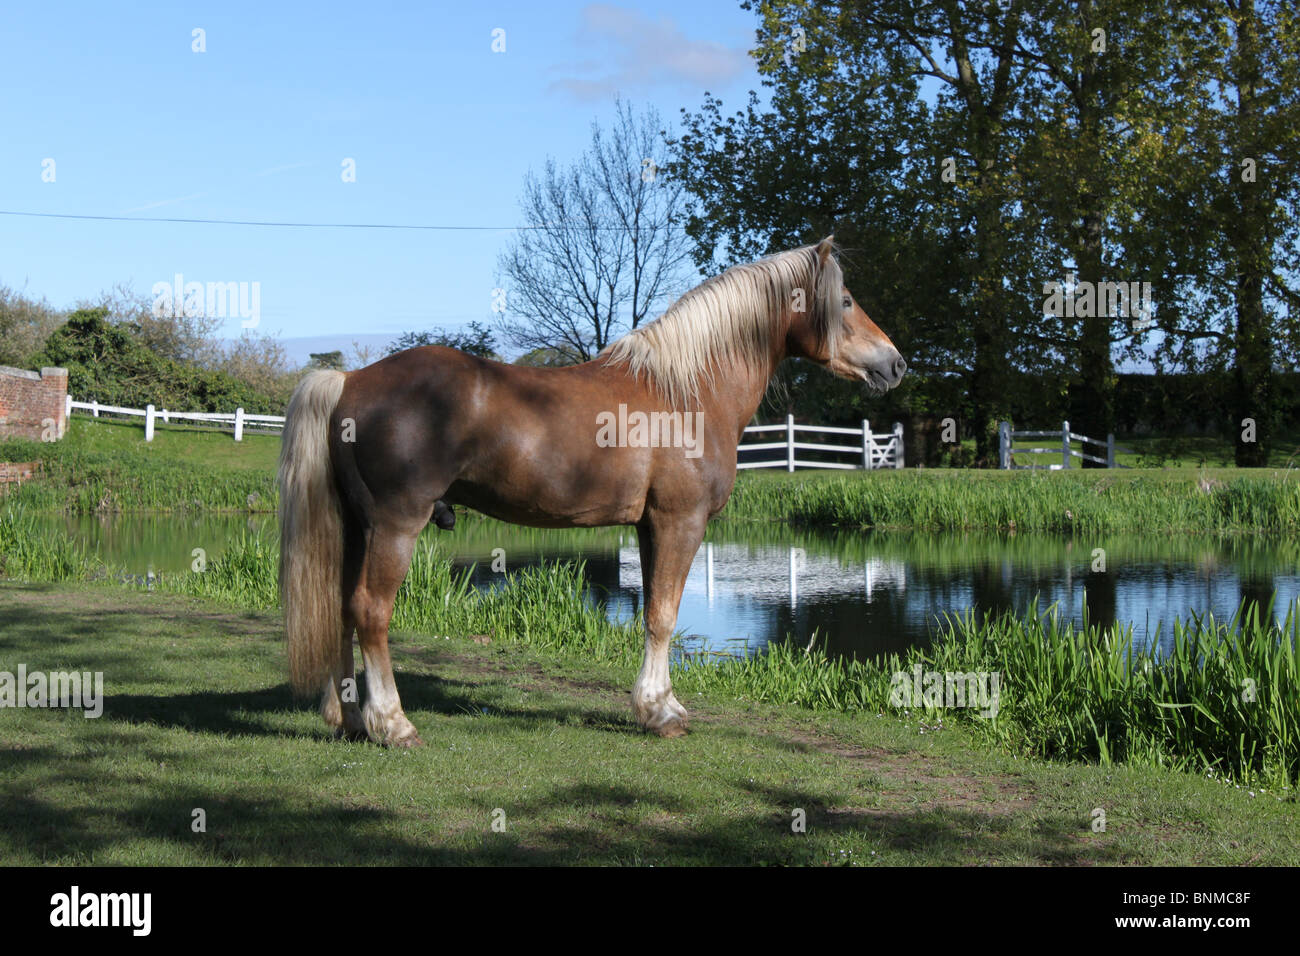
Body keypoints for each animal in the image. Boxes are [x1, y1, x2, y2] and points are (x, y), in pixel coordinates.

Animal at [278, 237, 906, 746]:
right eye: (845, 300)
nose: (896, 364)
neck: (686, 390)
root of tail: (350, 380)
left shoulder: (651, 526)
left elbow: (654, 611)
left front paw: (660, 705)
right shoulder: (681, 521)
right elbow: (663, 616)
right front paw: (660, 714)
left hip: (358, 527)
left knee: (341, 607)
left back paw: (349, 719)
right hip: (395, 526)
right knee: (371, 611)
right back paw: (393, 724)